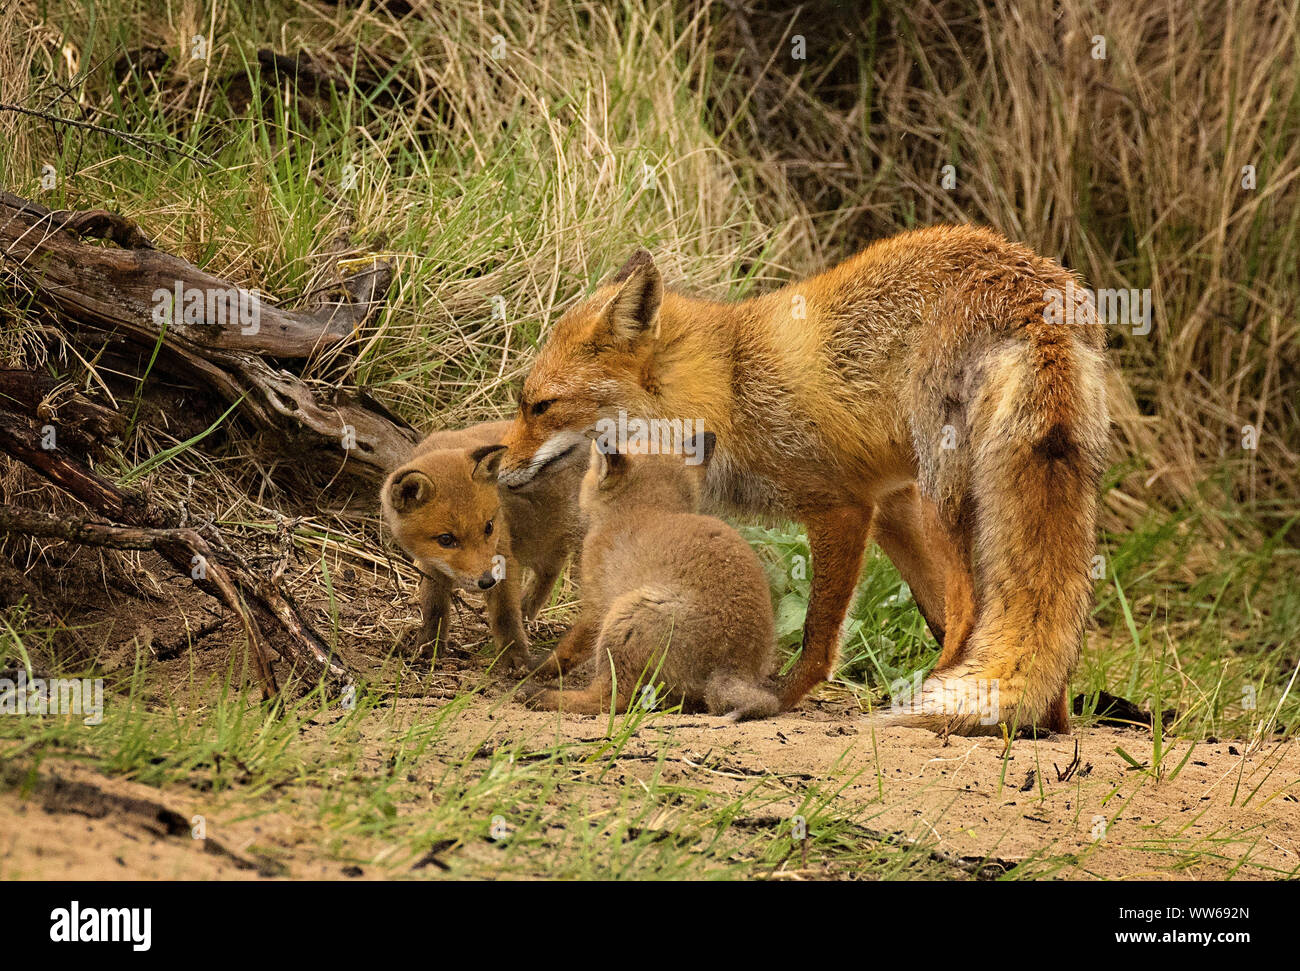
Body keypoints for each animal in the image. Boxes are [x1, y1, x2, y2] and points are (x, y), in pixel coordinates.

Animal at [380, 420, 584, 669]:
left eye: (488, 527)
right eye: (446, 539)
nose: (487, 581)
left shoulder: (503, 555)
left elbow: (505, 614)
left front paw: (515, 657)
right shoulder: (431, 566)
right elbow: (433, 608)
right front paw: (429, 647)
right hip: (546, 545)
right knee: (549, 574)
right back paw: (528, 611)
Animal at [525, 432, 780, 720]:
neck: (648, 511)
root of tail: (733, 666)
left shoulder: (598, 605)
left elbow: (568, 648)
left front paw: (538, 668)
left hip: (626, 617)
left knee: (611, 699)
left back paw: (541, 696)